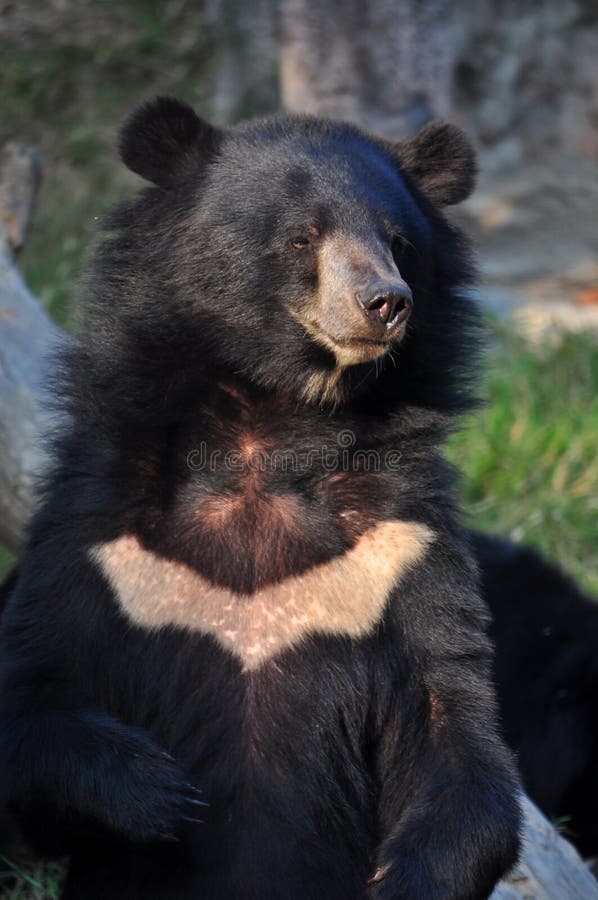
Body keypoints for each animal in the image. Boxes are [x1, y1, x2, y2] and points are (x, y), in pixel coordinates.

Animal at [0, 97, 521, 899]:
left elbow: (459, 733)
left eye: (399, 241)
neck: (271, 426)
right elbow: (33, 695)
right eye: (304, 235)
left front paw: (402, 879)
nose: (386, 303)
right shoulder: (99, 532)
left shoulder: (401, 544)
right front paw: (162, 791)